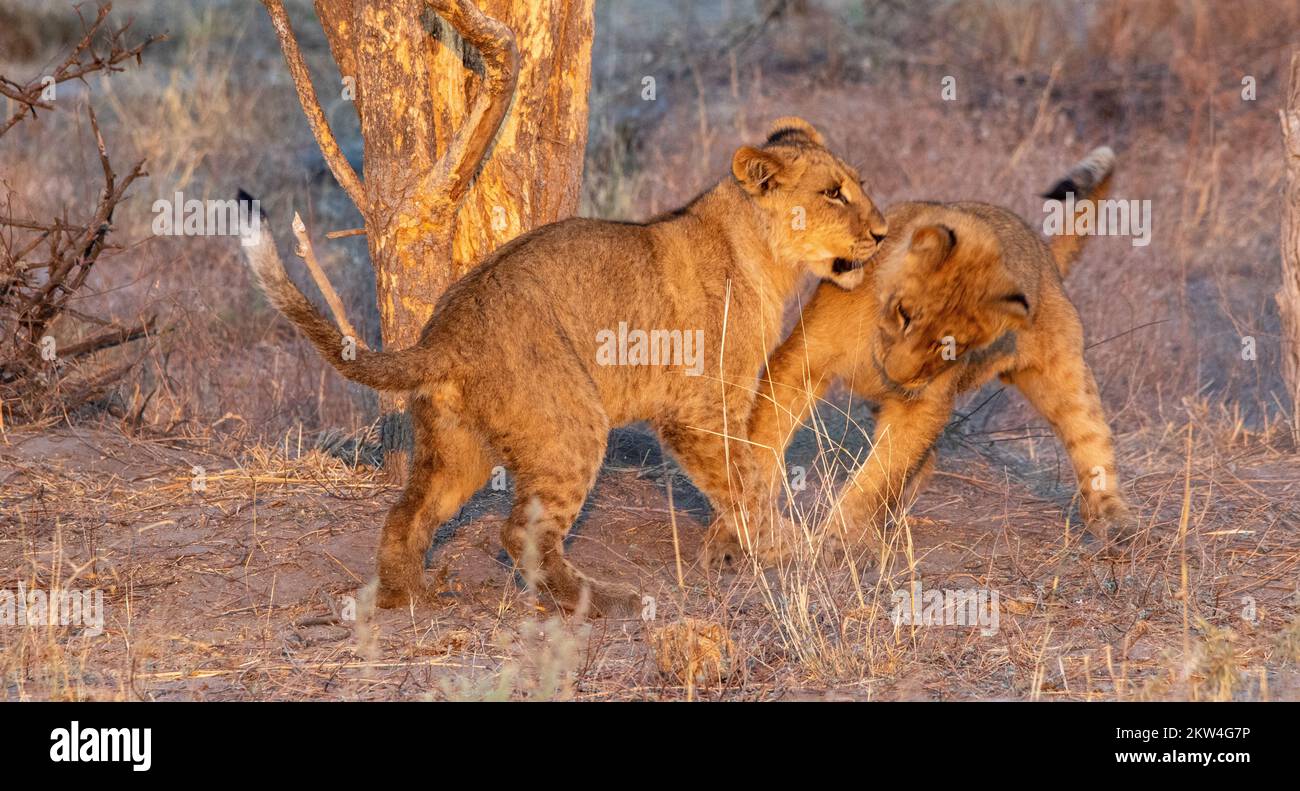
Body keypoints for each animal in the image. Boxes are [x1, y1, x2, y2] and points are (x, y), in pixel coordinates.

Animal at [240, 117, 888, 616]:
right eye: (833, 194)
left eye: (859, 185)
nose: (882, 233)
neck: (764, 257)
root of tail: (445, 333)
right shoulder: (696, 410)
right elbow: (745, 480)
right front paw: (786, 547)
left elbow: (747, 472)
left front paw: (750, 546)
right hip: (571, 422)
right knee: (520, 531)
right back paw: (602, 600)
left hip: (457, 444)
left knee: (407, 514)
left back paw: (407, 596)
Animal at [748, 147, 1137, 553]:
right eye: (905, 315)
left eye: (951, 348)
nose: (897, 376)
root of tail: (1045, 257)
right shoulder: (803, 360)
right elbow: (766, 433)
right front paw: (749, 508)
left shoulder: (924, 403)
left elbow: (882, 473)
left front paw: (840, 539)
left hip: (1062, 372)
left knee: (1089, 434)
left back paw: (1116, 522)